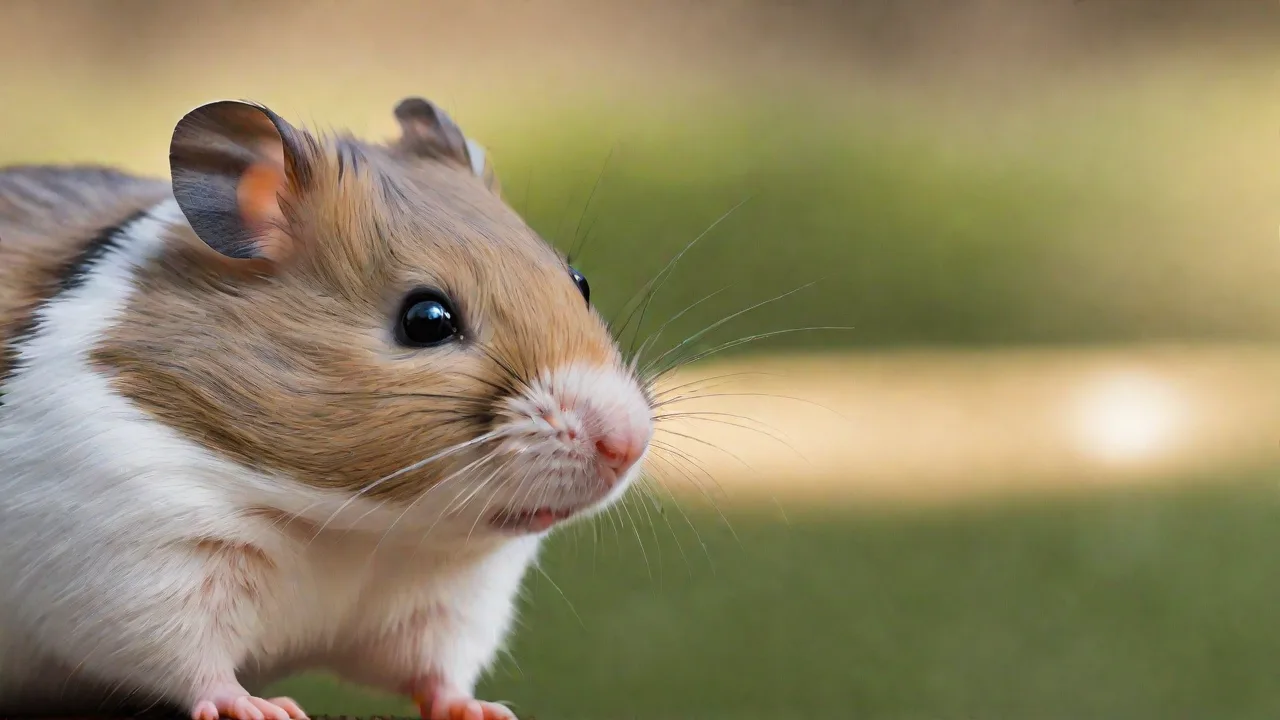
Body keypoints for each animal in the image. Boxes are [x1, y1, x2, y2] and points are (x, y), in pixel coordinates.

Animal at [0, 97, 654, 720]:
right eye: (427, 320)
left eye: (579, 281)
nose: (627, 446)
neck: (357, 527)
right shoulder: (136, 560)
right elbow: (193, 663)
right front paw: (263, 709)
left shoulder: (450, 602)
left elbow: (438, 674)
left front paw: (487, 711)